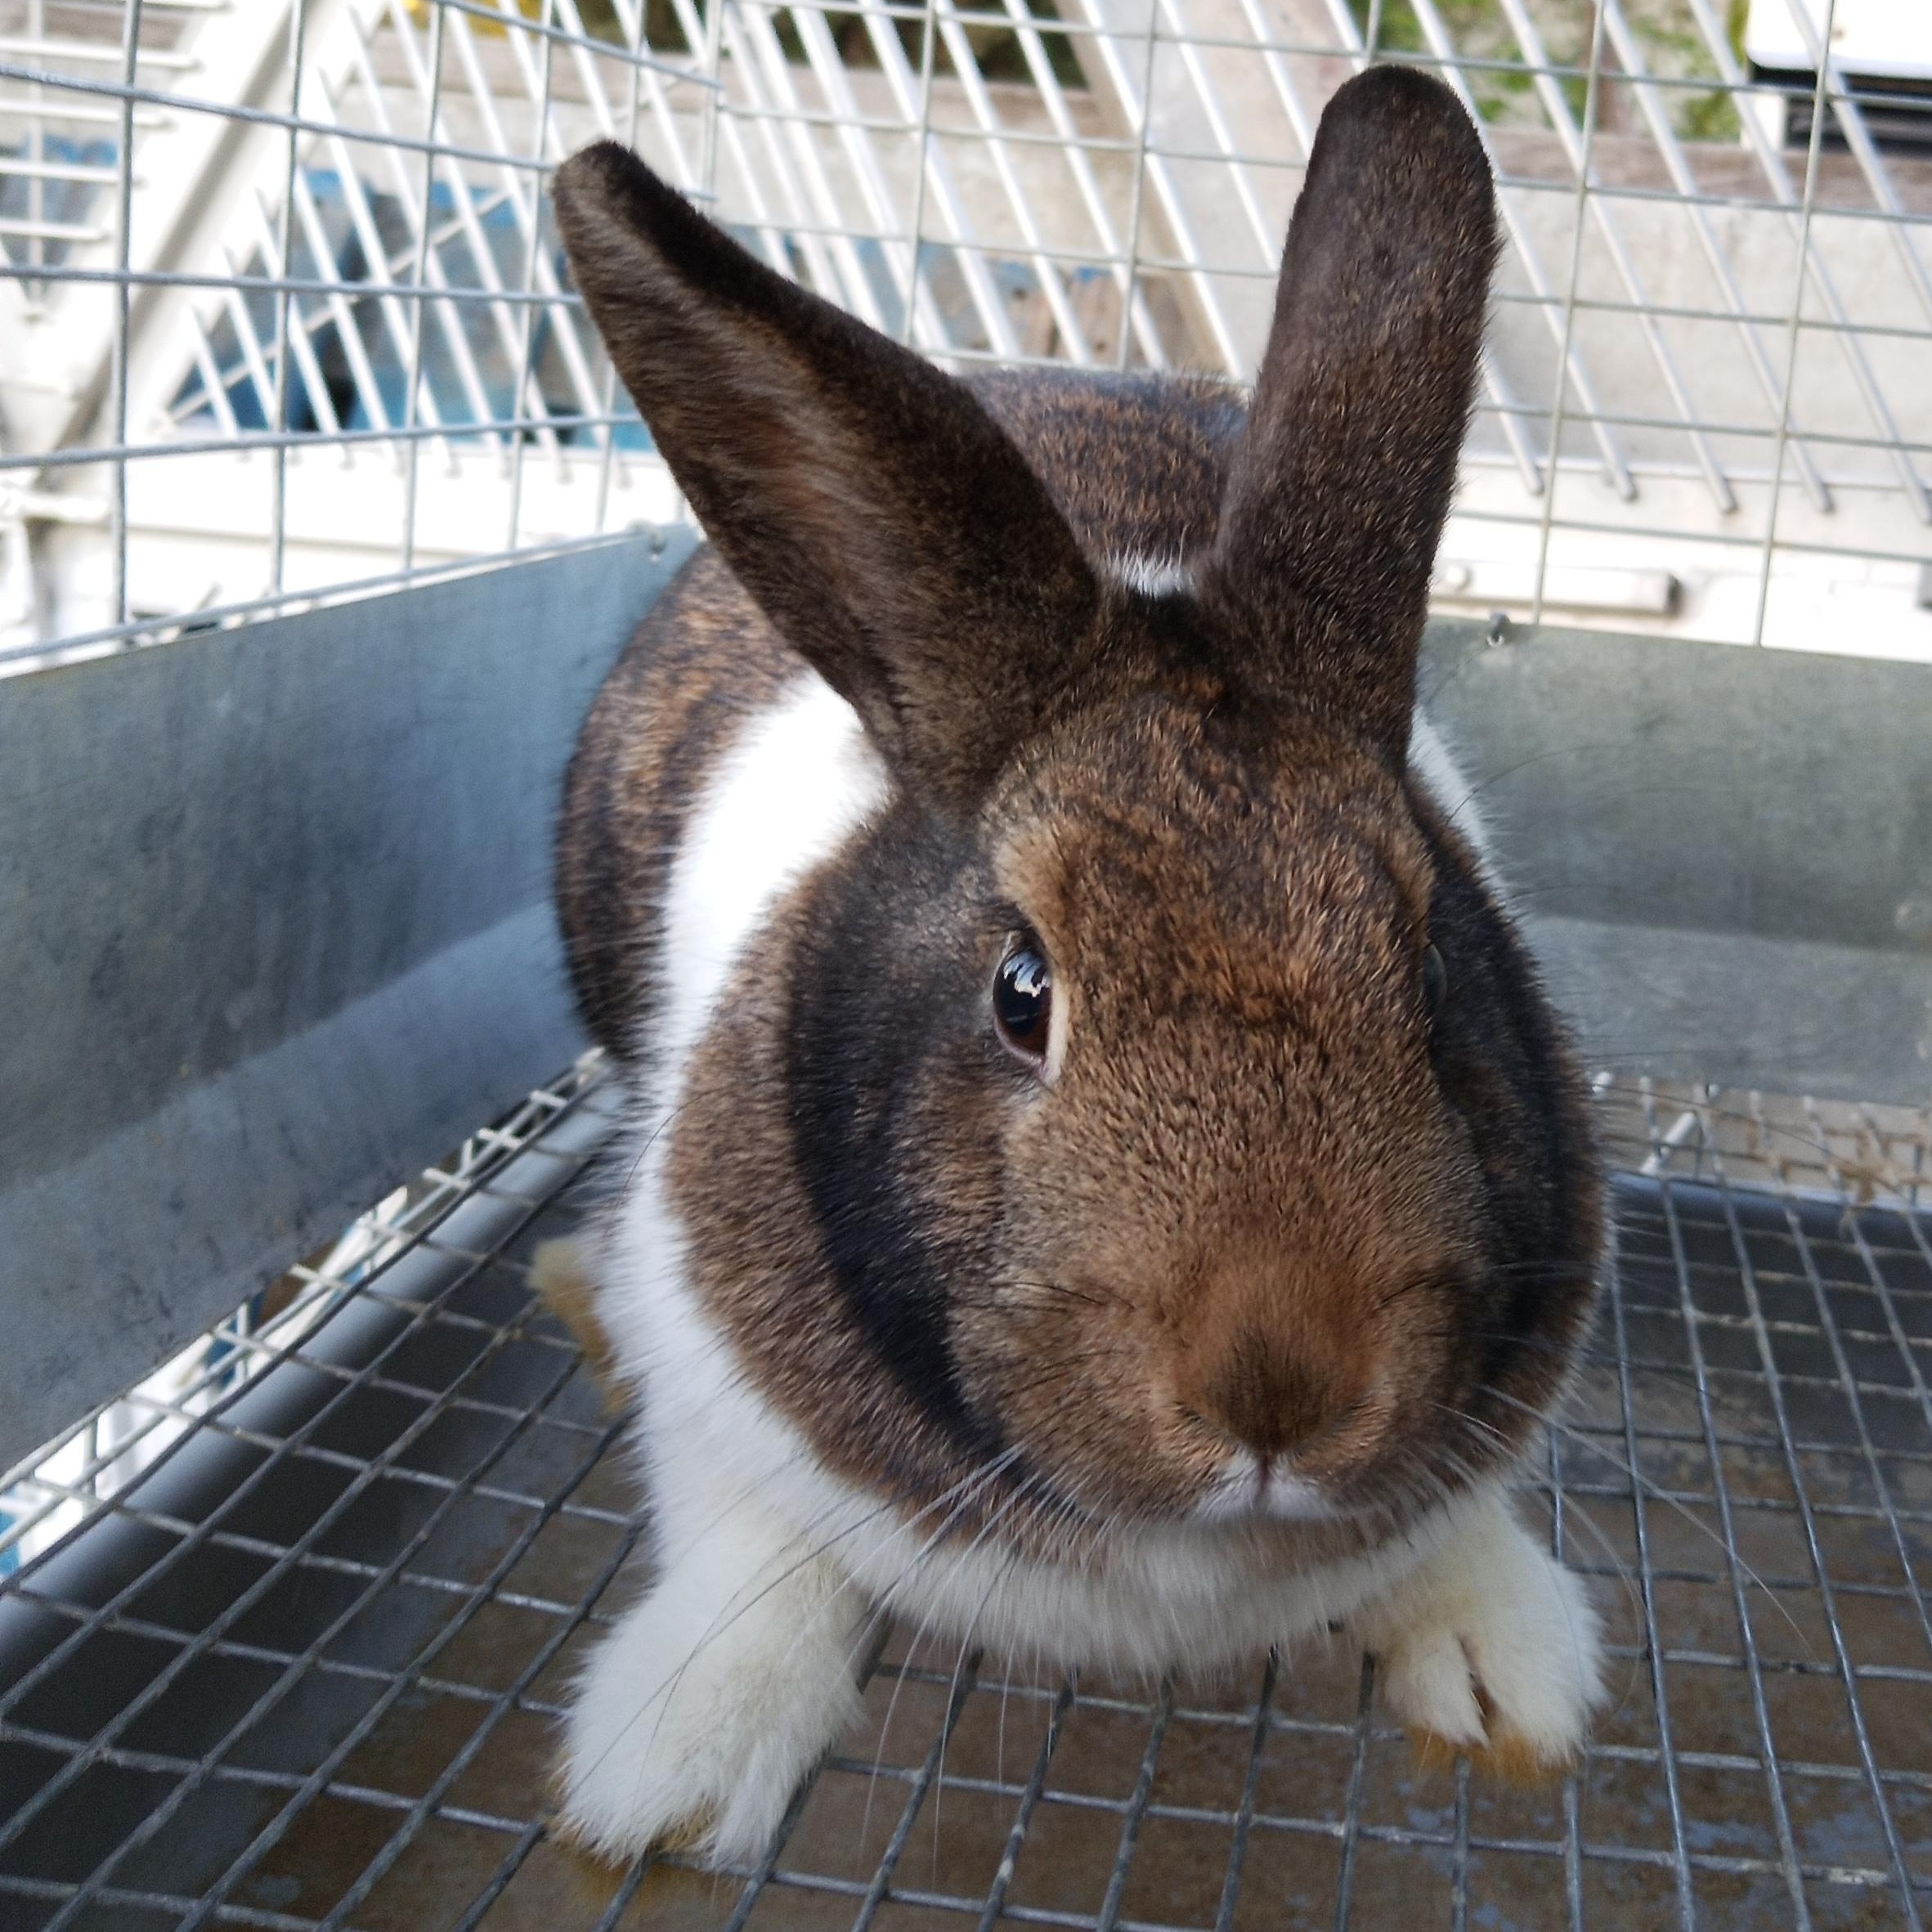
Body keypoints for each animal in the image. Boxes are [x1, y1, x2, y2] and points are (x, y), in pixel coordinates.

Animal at [543, 63, 1606, 1869]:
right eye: (1018, 992)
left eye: (1432, 964)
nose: (1276, 1387)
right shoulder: (713, 1387)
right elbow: (749, 1545)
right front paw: (673, 1772)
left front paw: (1499, 1662)